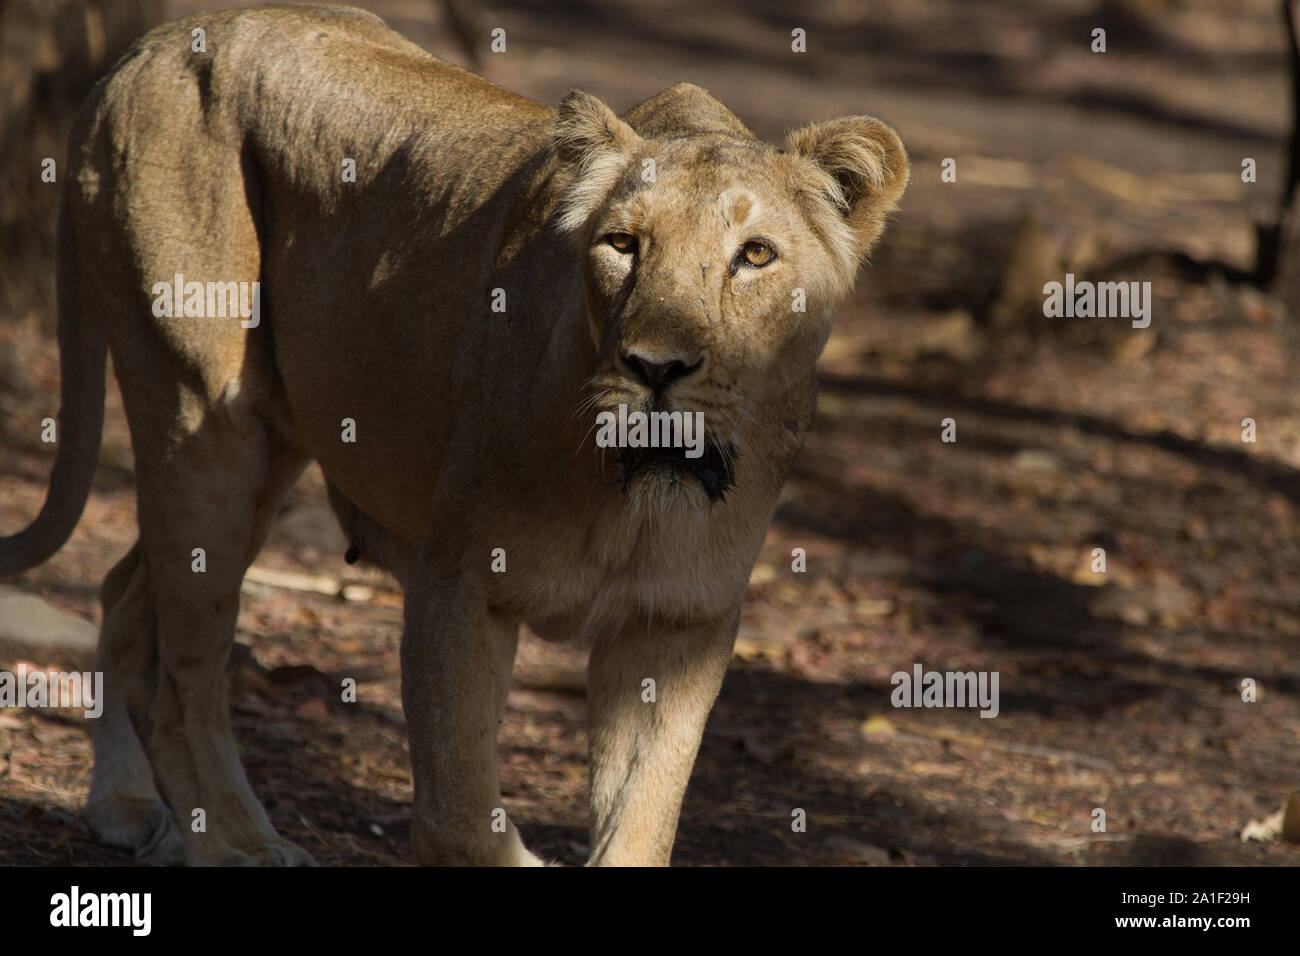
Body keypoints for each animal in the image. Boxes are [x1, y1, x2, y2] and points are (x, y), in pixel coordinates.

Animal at [0, 3, 908, 865]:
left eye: (755, 256)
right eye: (623, 244)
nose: (656, 367)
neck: (631, 497)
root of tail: (142, 49)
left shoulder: (681, 622)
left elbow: (640, 819)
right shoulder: (461, 578)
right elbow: (459, 819)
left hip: (261, 447)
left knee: (125, 591)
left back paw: (128, 808)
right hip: (205, 416)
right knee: (177, 673)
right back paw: (236, 843)